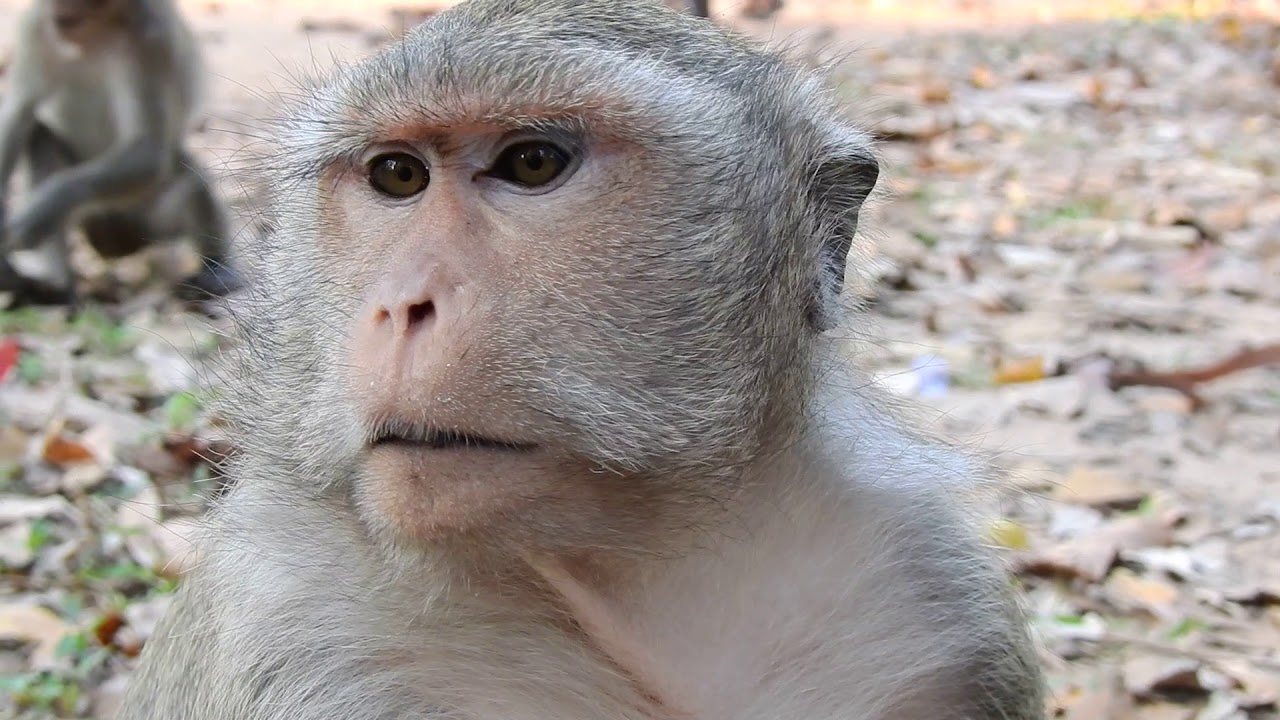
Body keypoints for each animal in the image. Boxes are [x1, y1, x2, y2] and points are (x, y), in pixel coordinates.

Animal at [0, 0, 239, 306]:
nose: (60, 11)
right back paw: (59, 287)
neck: (96, 32)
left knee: (187, 173)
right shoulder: (37, 28)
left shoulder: (152, 40)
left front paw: (46, 208)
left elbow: (148, 152)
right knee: (40, 137)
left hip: (152, 219)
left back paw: (217, 267)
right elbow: (18, 113)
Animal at [114, 1, 1045, 718]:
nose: (403, 304)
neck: (635, 580)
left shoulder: (934, 602)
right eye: (397, 176)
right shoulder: (288, 633)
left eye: (532, 163)